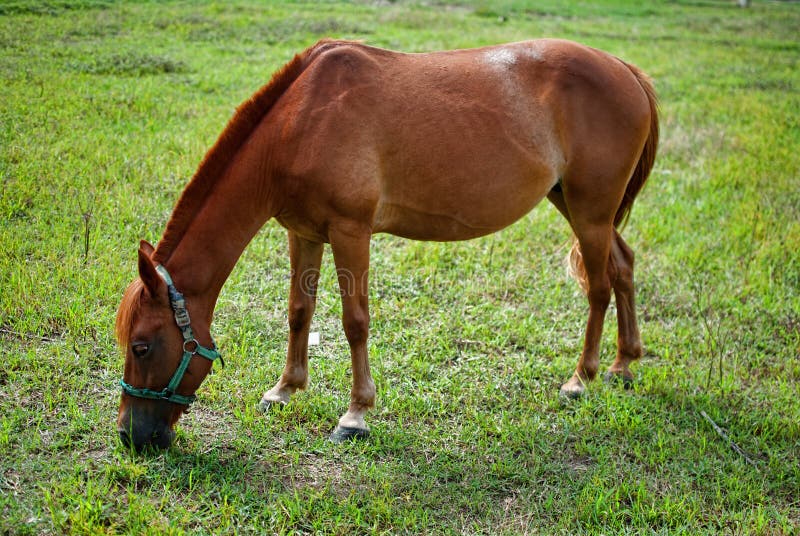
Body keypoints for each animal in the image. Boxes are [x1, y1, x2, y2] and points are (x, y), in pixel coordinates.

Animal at [115, 38, 658, 450]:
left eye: (142, 346)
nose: (129, 436)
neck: (301, 122)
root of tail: (624, 70)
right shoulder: (303, 232)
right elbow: (299, 311)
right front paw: (285, 389)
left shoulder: (351, 232)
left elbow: (355, 322)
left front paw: (355, 414)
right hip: (579, 206)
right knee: (624, 267)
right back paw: (624, 365)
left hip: (590, 212)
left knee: (599, 289)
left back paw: (581, 379)